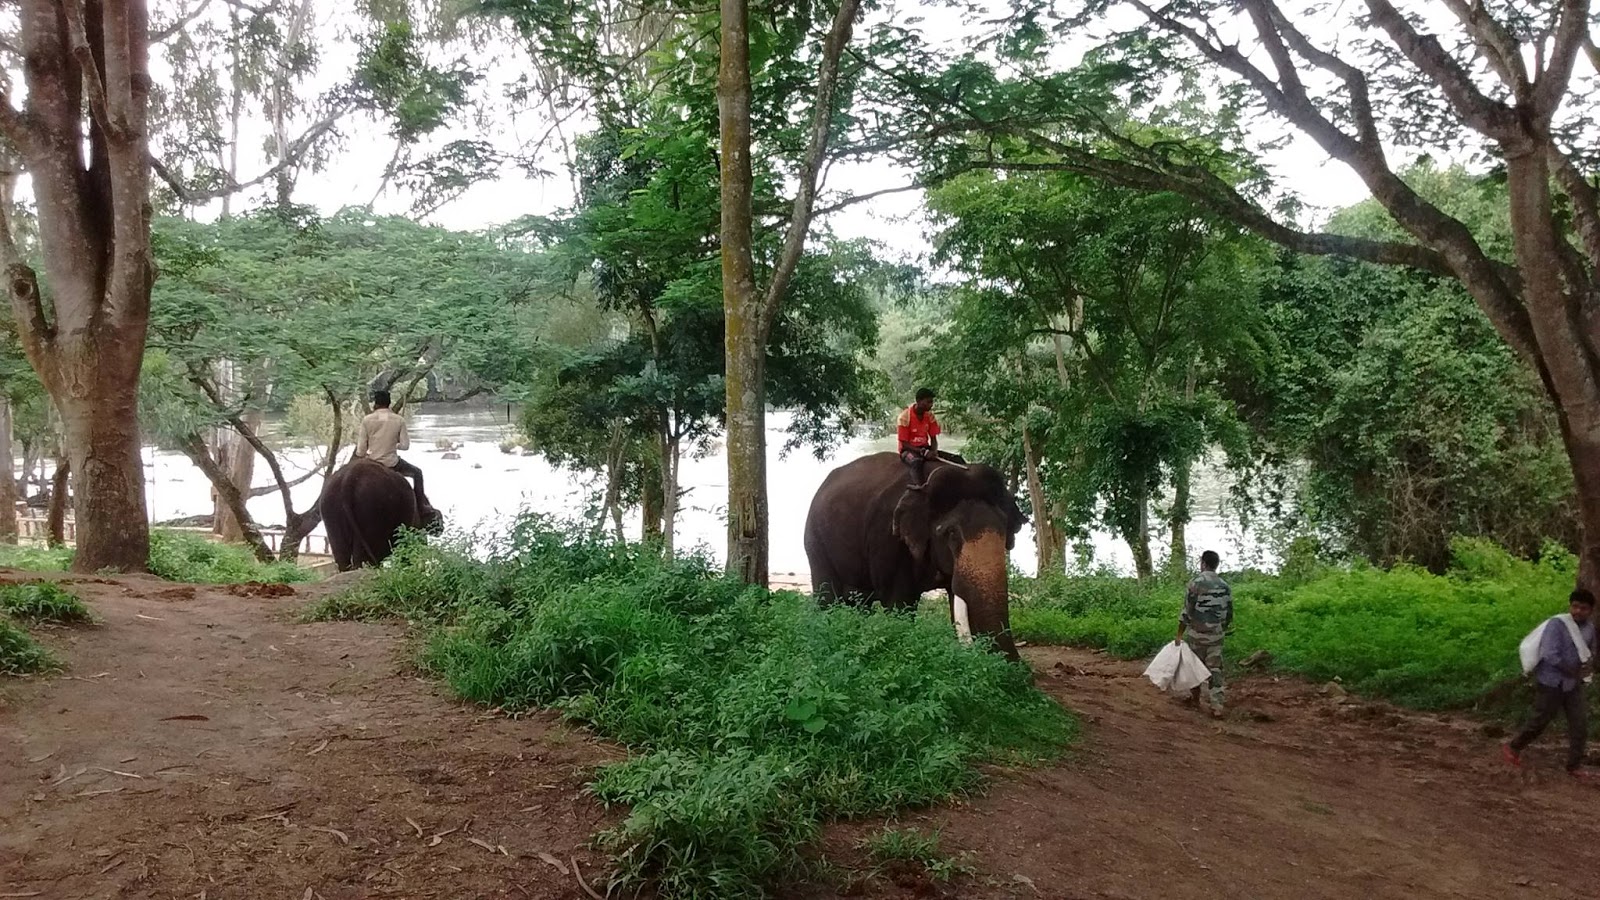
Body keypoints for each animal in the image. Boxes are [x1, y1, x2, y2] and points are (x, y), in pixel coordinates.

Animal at [803, 451, 1027, 660]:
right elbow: (899, 604)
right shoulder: (888, 537)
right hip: (816, 542)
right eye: (951, 533)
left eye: (1005, 528)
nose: (1019, 667)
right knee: (827, 598)